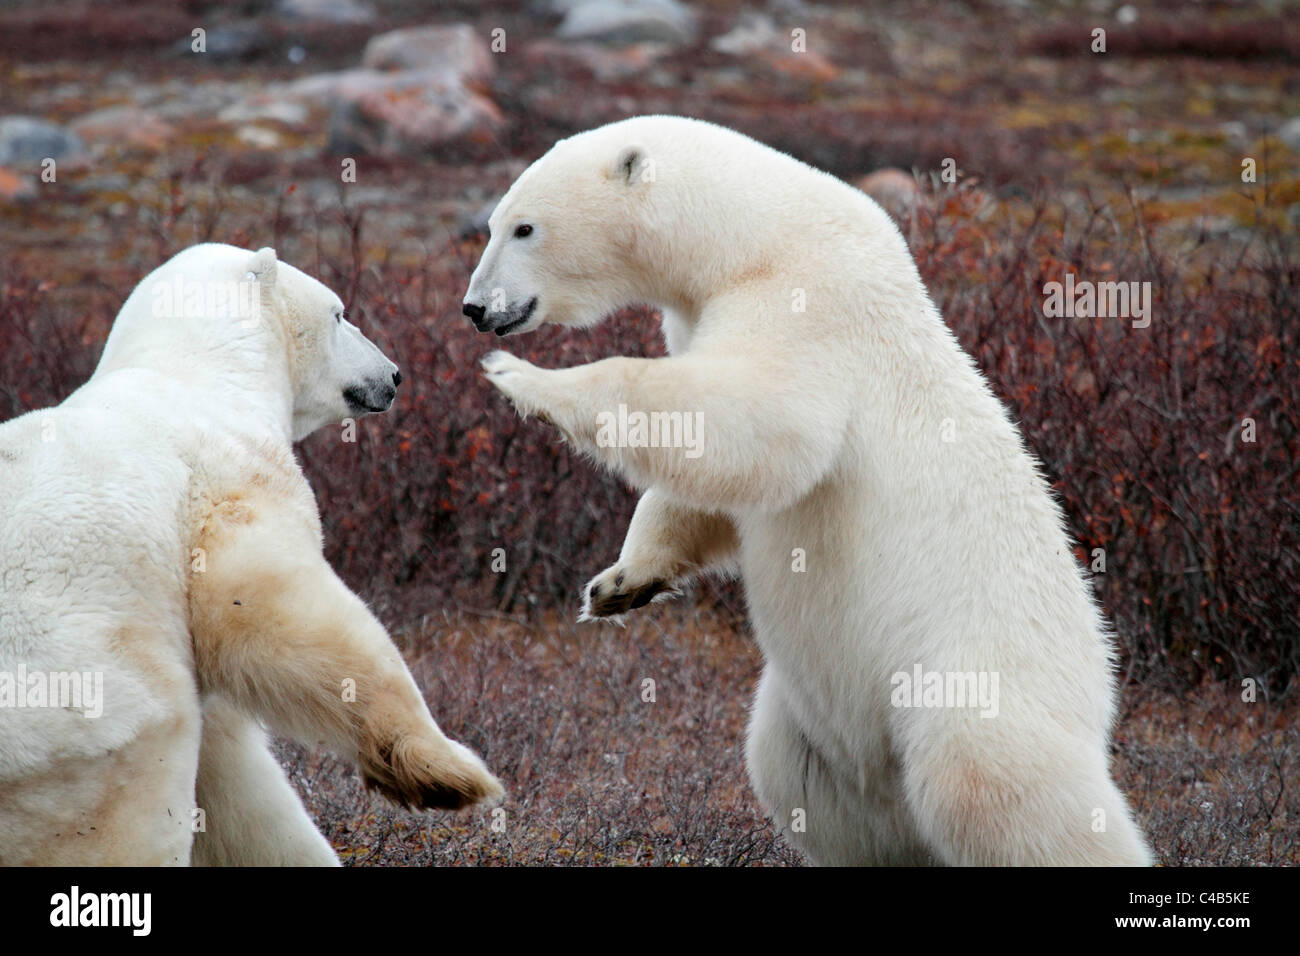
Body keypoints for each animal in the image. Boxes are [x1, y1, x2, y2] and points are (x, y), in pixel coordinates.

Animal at [0, 243, 502, 866]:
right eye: (340, 313)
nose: (393, 374)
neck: (202, 370)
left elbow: (236, 777)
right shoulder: (225, 477)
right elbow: (281, 608)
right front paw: (449, 771)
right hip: (91, 714)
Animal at [462, 115, 1153, 866]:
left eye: (524, 227)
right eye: (492, 223)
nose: (475, 308)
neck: (753, 233)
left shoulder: (806, 303)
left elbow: (765, 427)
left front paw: (524, 379)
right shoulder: (702, 314)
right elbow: (708, 474)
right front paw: (618, 584)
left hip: (977, 671)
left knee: (986, 776)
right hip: (809, 725)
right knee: (795, 775)